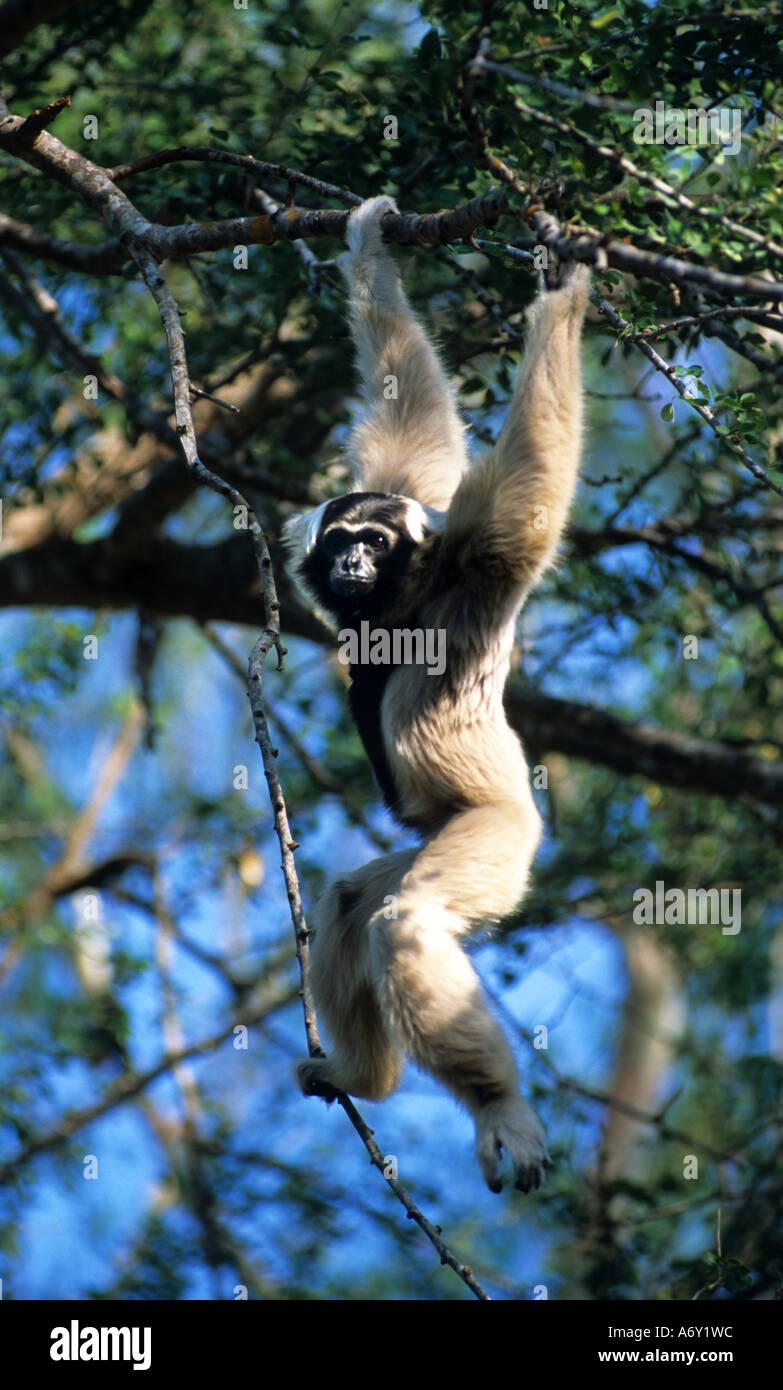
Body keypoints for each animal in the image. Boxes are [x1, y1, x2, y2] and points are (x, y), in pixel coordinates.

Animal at [283, 196, 589, 1193]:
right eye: (344, 537)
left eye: (375, 544)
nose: (350, 562)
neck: (405, 602)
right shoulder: (421, 500)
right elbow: (411, 417)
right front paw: (371, 243)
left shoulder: (471, 562)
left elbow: (527, 503)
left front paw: (563, 298)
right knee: (351, 901)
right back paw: (363, 1077)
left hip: (494, 834)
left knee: (404, 921)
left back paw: (497, 1107)